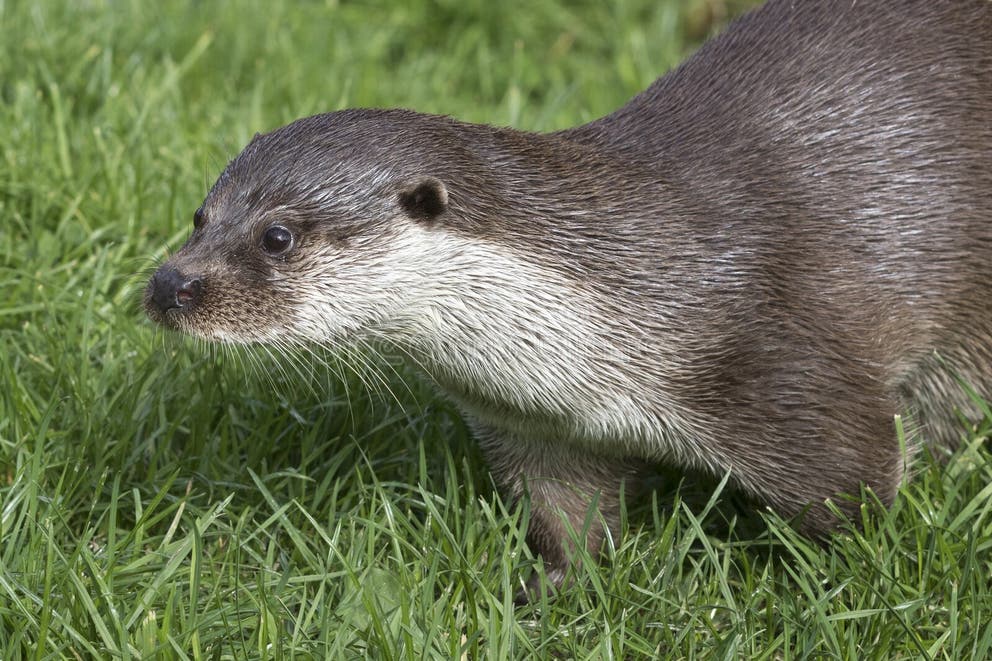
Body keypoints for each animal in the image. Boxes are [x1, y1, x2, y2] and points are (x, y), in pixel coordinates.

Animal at [146, 0, 992, 599]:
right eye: (199, 215)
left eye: (277, 236)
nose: (169, 285)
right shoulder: (540, 430)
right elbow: (569, 518)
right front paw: (548, 590)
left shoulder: (790, 372)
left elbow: (856, 497)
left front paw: (830, 589)